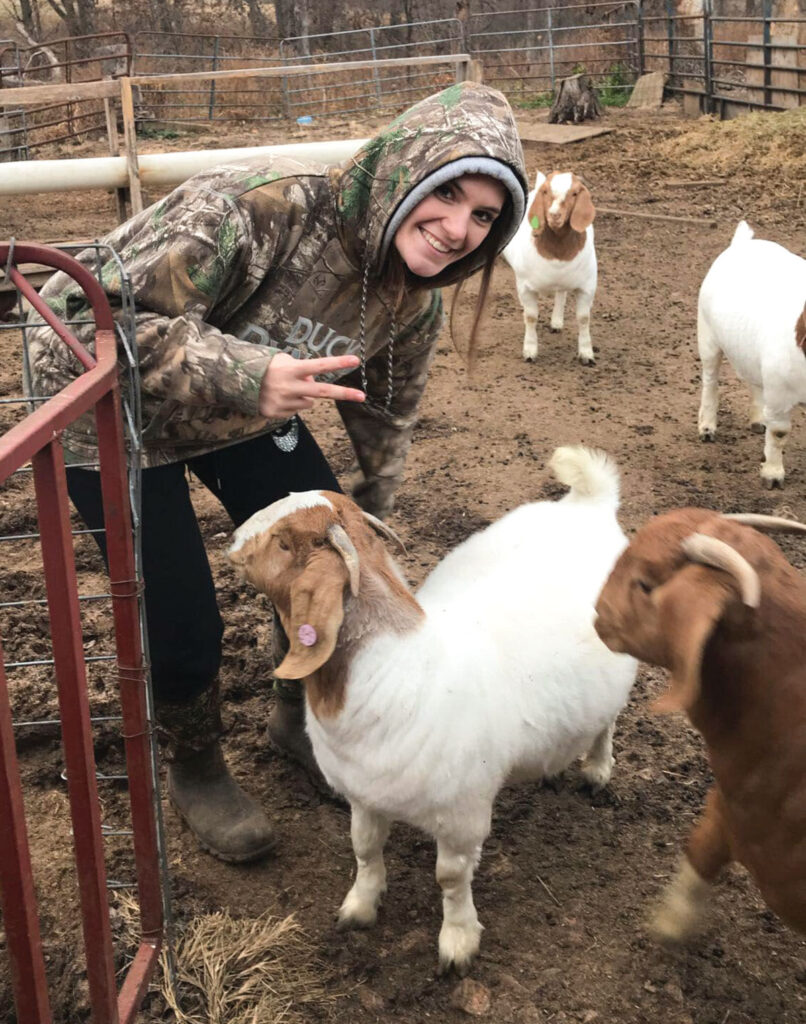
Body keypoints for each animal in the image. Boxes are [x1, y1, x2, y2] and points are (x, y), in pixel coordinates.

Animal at [229, 446, 637, 974]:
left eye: (282, 543)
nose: (232, 540)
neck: (399, 665)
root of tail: (588, 502)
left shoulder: (463, 817)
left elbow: (451, 879)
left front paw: (458, 941)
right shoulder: (363, 796)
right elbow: (364, 849)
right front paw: (360, 906)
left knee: (608, 721)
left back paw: (597, 769)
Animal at [502, 169, 598, 365]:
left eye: (574, 193)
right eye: (545, 192)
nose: (554, 215)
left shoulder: (588, 285)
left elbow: (584, 318)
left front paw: (586, 353)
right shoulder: (525, 287)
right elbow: (531, 317)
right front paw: (530, 351)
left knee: (561, 293)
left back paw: (556, 322)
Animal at [697, 220, 806, 488]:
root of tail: (743, 243)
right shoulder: (779, 395)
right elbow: (779, 433)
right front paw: (773, 475)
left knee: (753, 380)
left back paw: (758, 420)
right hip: (707, 336)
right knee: (710, 379)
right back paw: (707, 427)